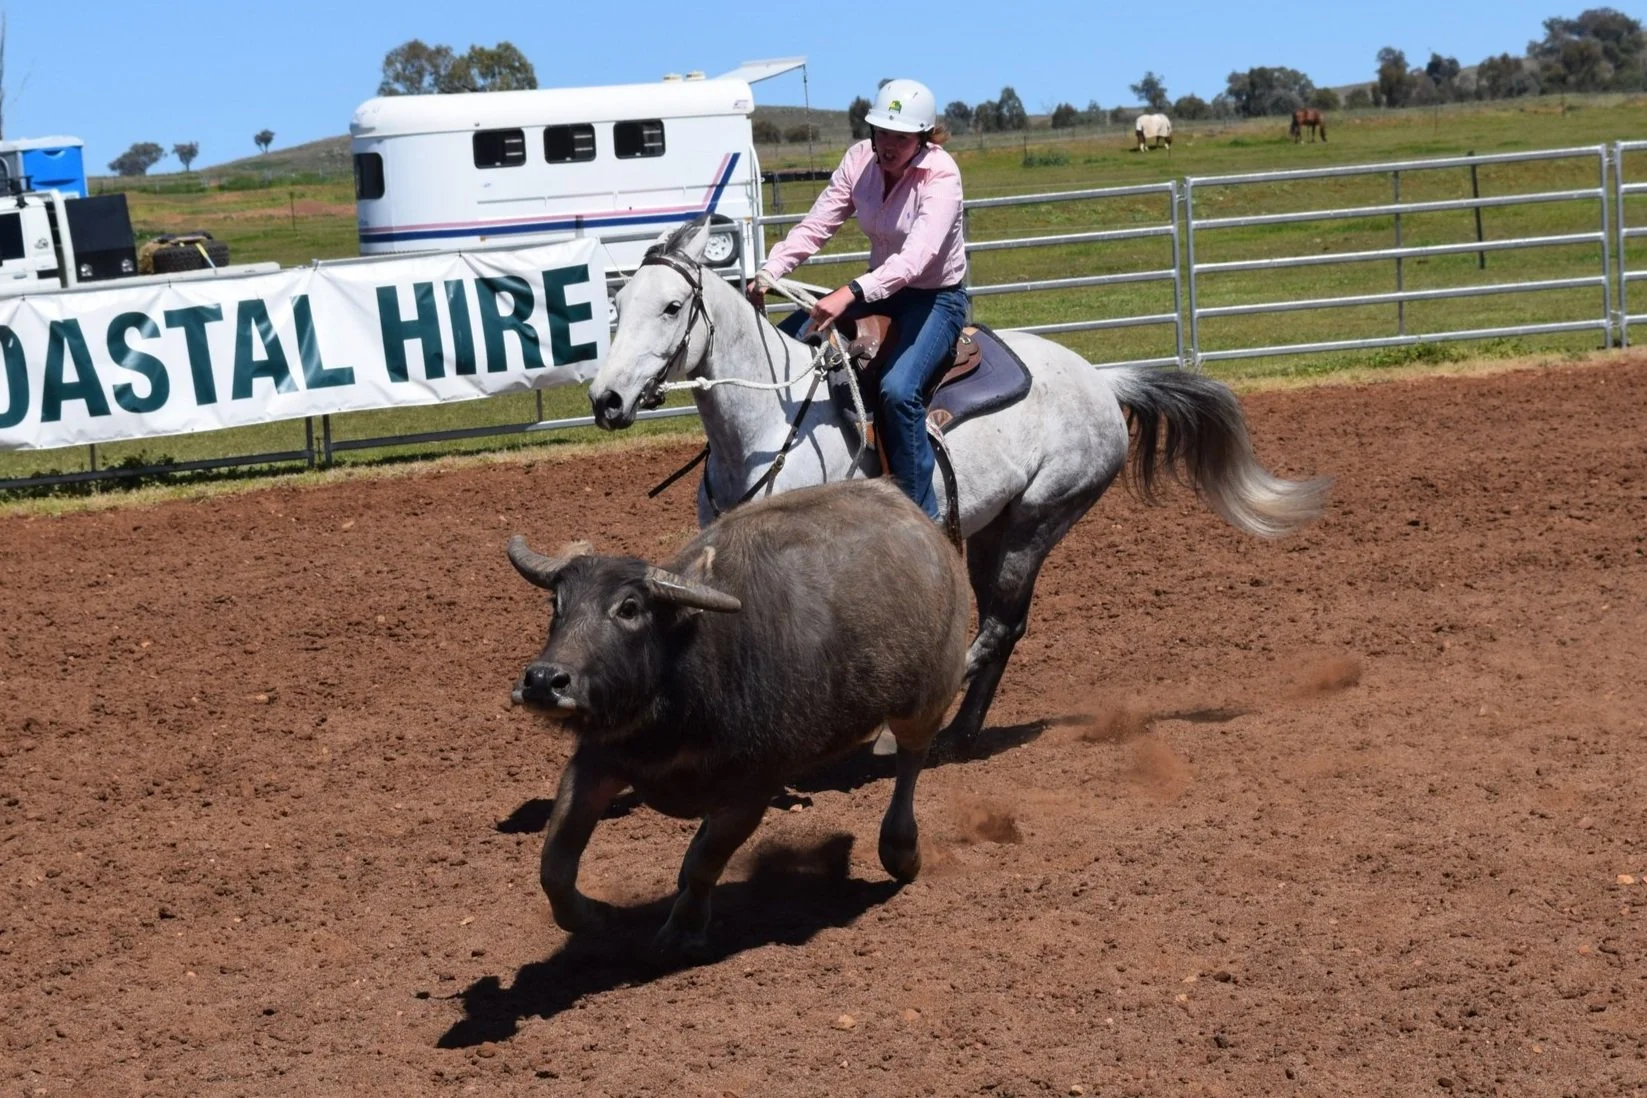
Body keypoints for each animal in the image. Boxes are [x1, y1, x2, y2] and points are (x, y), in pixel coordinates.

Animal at [587, 218, 1330, 749]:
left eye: (673, 306)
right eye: (618, 305)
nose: (606, 400)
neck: (772, 424)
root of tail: (1102, 378)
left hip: (1040, 517)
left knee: (999, 623)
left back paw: (906, 732)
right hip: (993, 529)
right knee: (1010, 622)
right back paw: (962, 731)